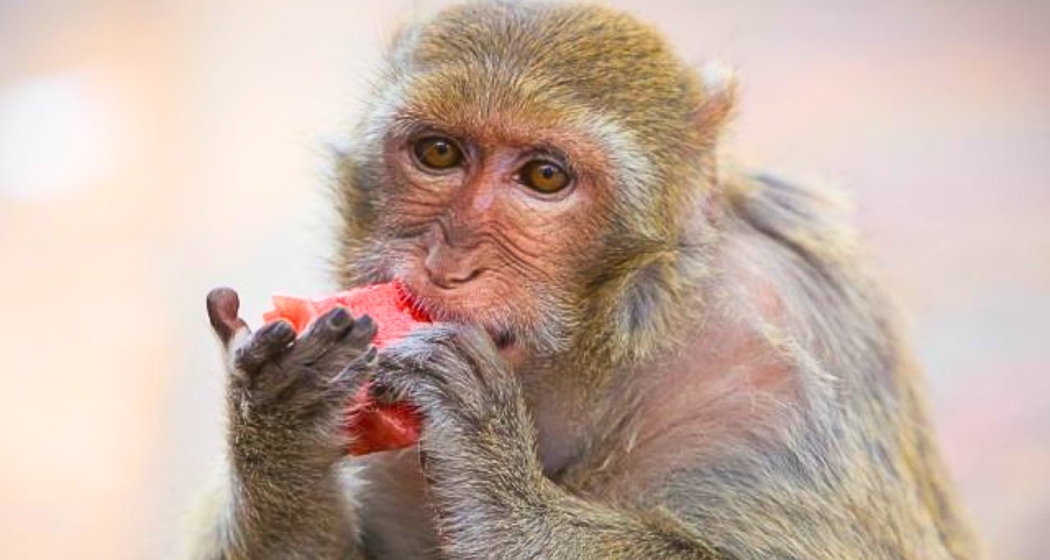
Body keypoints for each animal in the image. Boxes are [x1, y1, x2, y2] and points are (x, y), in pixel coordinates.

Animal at [187, 2, 983, 559]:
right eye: (439, 153)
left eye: (545, 177)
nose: (451, 261)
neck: (622, 341)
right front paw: (278, 424)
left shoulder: (776, 367)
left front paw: (498, 482)